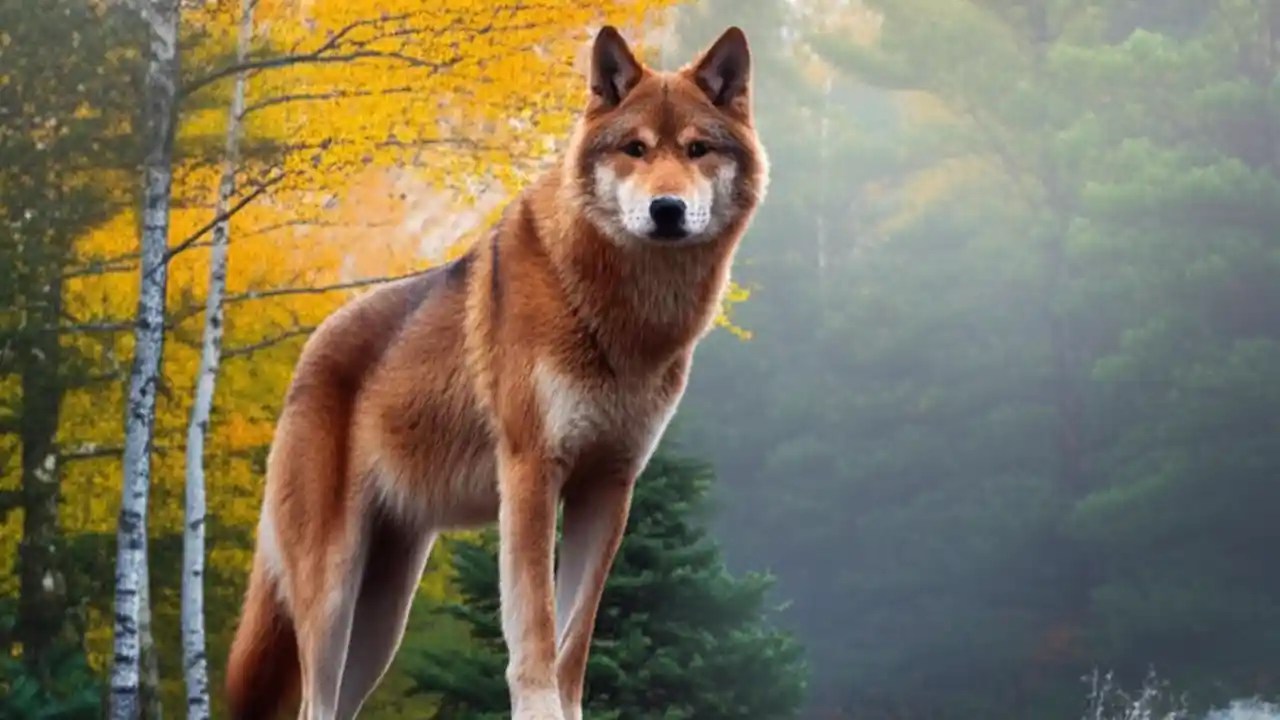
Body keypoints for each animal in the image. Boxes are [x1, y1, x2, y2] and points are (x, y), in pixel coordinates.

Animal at [225, 24, 767, 720]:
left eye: (698, 149)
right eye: (636, 149)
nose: (667, 209)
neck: (622, 315)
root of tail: (310, 350)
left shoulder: (608, 488)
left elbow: (573, 642)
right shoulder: (532, 473)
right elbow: (534, 628)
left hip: (383, 617)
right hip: (331, 593)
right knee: (314, 701)